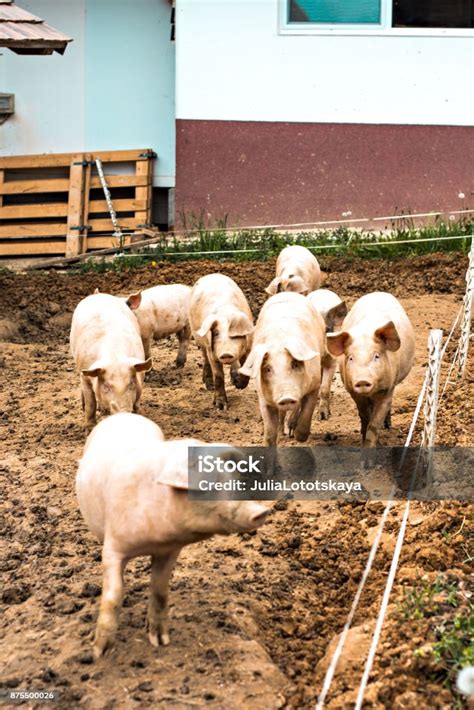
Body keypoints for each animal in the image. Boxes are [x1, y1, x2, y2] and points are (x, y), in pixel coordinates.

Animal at [70, 293, 152, 429]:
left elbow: (137, 402)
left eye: (131, 384)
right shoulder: (85, 375)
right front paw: (89, 428)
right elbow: (91, 404)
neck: (115, 357)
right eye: (106, 386)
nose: (123, 413)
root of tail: (98, 294)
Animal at [76, 412, 270, 658]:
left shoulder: (169, 551)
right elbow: (113, 594)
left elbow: (160, 590)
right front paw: (100, 652)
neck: (154, 540)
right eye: (208, 485)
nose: (262, 511)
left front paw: (160, 641)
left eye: (232, 480)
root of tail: (123, 414)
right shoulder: (113, 546)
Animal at [189, 273, 254, 410]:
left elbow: (245, 369)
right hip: (200, 339)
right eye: (216, 333)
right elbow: (218, 375)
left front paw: (238, 385)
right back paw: (209, 385)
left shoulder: (249, 347)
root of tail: (211, 275)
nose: (226, 354)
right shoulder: (212, 350)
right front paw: (221, 407)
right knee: (205, 359)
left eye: (235, 335)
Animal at [239, 292, 326, 446]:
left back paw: (291, 431)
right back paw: (283, 431)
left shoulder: (315, 384)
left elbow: (307, 411)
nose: (286, 397)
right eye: (267, 369)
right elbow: (269, 432)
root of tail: (287, 292)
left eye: (295, 364)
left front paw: (300, 437)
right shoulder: (263, 398)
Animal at [326, 292, 415, 448]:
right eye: (350, 358)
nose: (362, 380)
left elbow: (375, 422)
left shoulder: (387, 389)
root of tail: (377, 293)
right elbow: (365, 415)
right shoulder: (353, 391)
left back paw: (388, 425)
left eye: (376, 356)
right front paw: (364, 441)